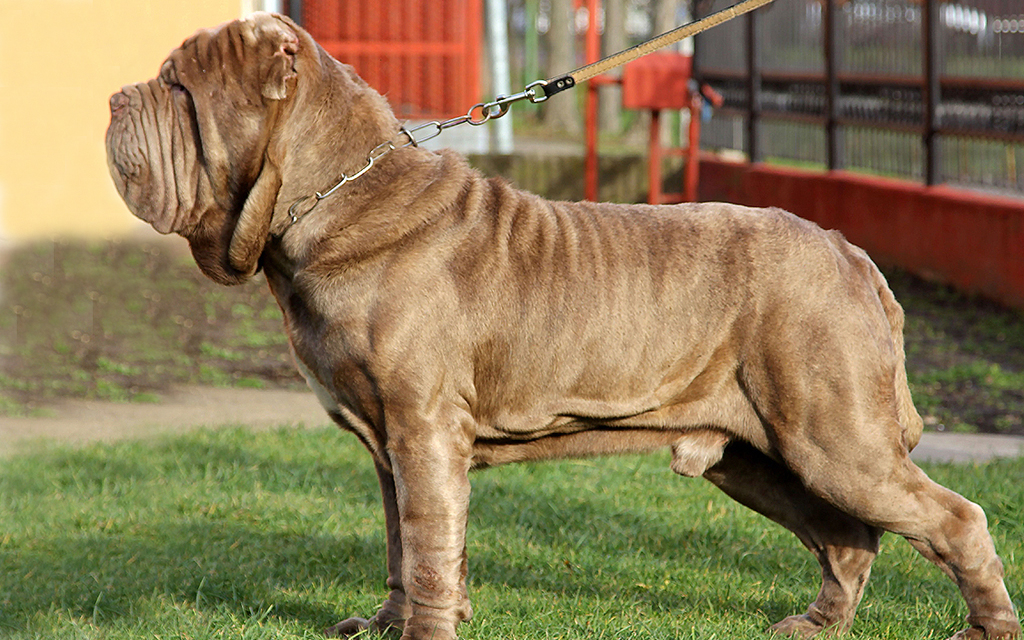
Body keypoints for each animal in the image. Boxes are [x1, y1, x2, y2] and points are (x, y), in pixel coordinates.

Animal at [108, 13, 1019, 638]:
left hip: (834, 436)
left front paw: (426, 630)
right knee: (848, 538)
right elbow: (409, 542)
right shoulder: (391, 445)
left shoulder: (422, 428)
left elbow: (427, 546)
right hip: (758, 454)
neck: (331, 196)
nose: (115, 96)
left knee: (953, 519)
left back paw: (986, 627)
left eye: (177, 85)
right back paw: (817, 625)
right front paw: (387, 624)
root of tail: (852, 252)